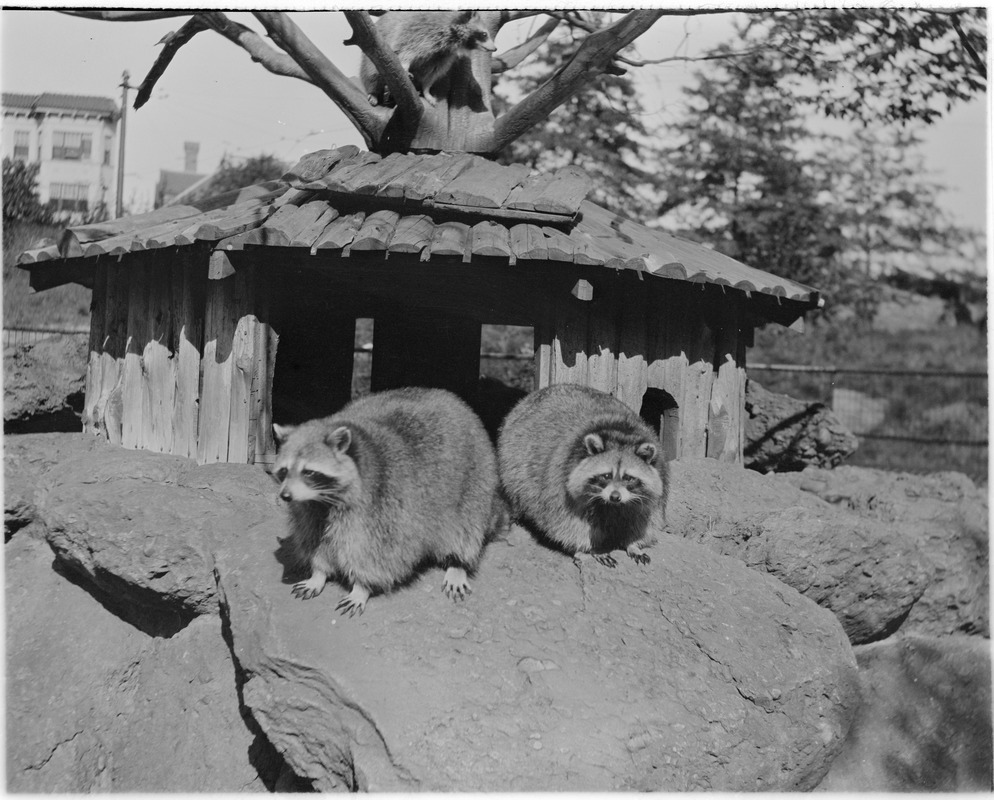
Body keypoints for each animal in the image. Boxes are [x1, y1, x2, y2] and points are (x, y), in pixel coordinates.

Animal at [272, 387, 503, 616]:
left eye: (309, 472)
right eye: (284, 470)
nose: (285, 496)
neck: (323, 499)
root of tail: (453, 398)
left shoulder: (381, 507)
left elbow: (375, 554)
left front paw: (361, 587)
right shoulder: (309, 511)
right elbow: (314, 541)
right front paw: (318, 573)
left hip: (474, 480)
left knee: (465, 529)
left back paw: (458, 562)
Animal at [358, 10, 497, 106]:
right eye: (484, 34)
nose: (495, 49)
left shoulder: (444, 53)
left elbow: (433, 72)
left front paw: (426, 90)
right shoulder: (421, 32)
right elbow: (406, 51)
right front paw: (404, 66)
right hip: (372, 57)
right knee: (371, 73)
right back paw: (374, 92)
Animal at [498, 384, 668, 567]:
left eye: (628, 478)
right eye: (606, 475)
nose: (615, 497)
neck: (622, 433)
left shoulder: (655, 486)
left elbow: (642, 519)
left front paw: (633, 544)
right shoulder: (559, 485)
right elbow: (568, 523)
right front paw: (590, 549)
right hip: (512, 458)